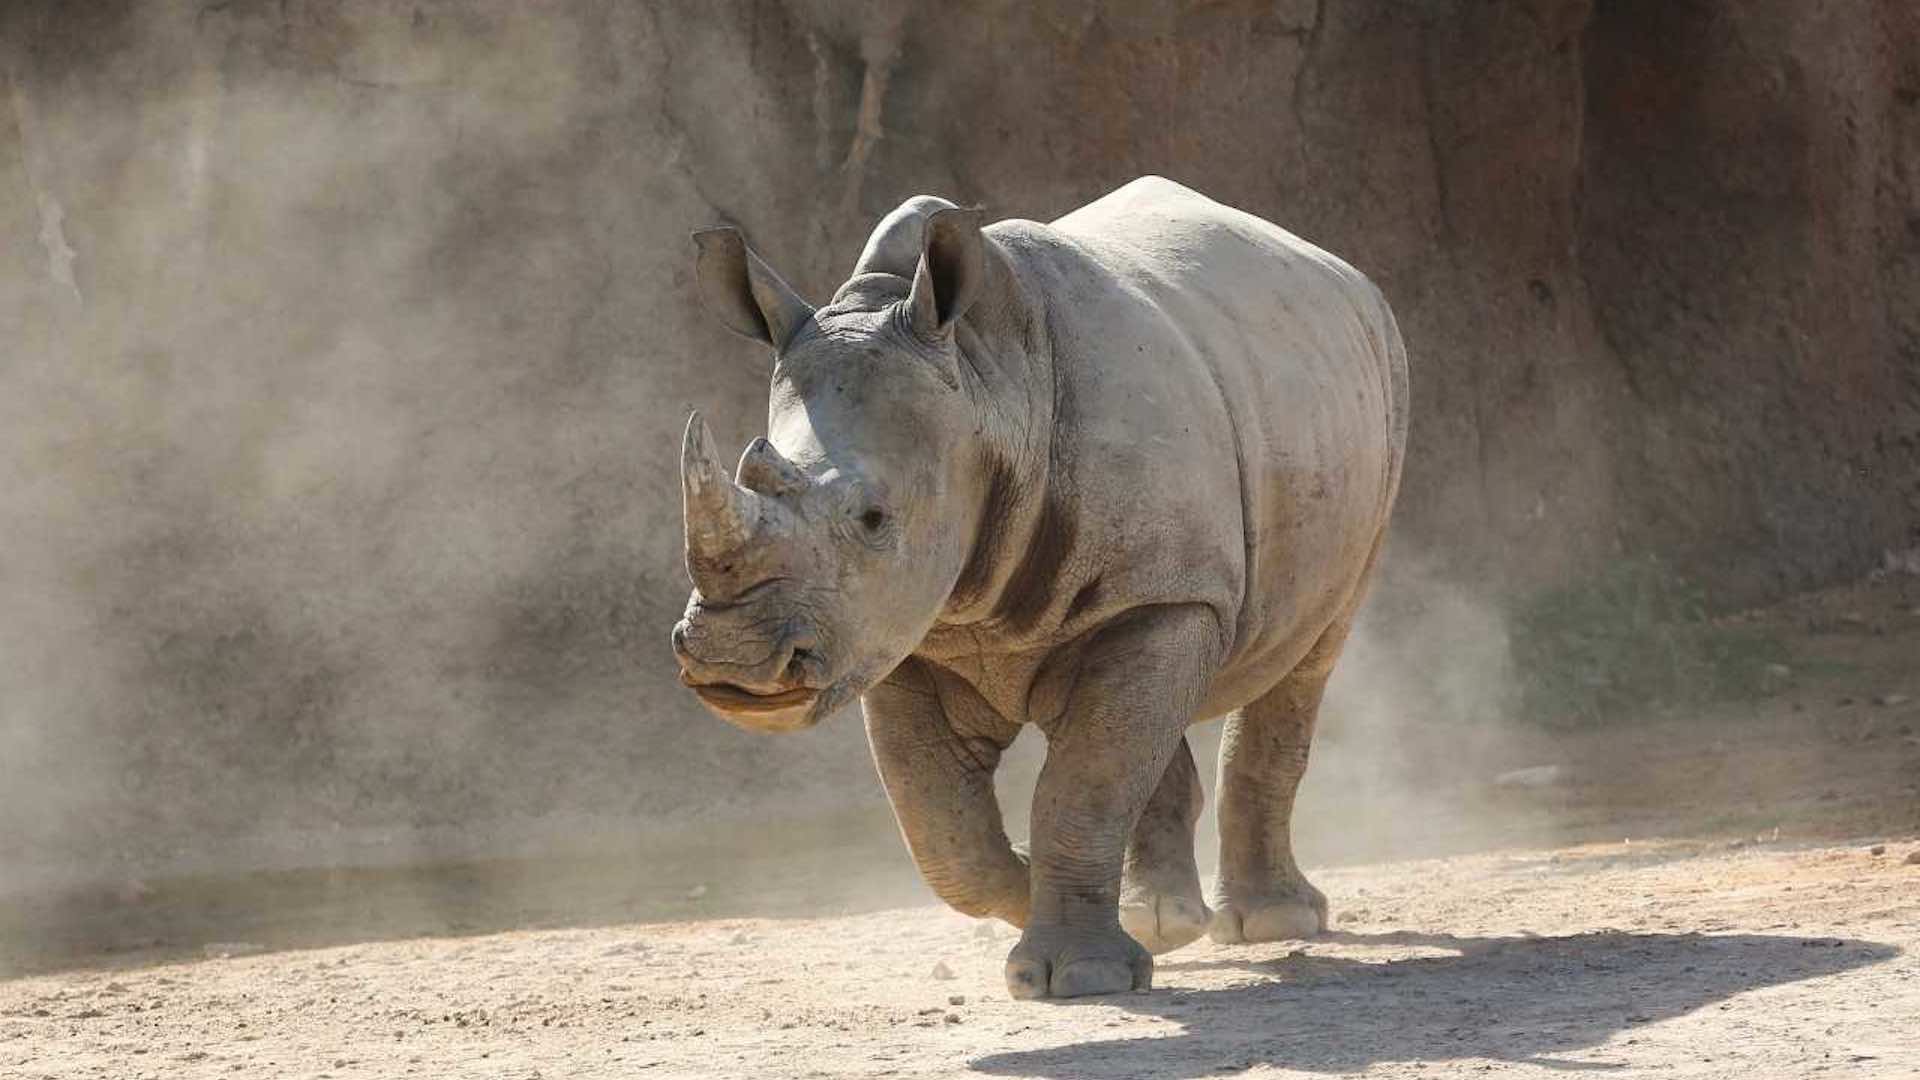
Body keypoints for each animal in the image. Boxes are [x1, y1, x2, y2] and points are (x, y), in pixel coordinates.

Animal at [670, 177, 1407, 999]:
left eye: (873, 518)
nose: (731, 662)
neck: (986, 384)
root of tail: (1339, 270)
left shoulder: (1161, 594)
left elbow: (1081, 789)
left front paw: (1079, 975)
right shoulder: (902, 628)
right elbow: (942, 824)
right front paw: (1031, 901)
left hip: (1377, 387)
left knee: (1307, 655)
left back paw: (1272, 924)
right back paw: (1164, 923)